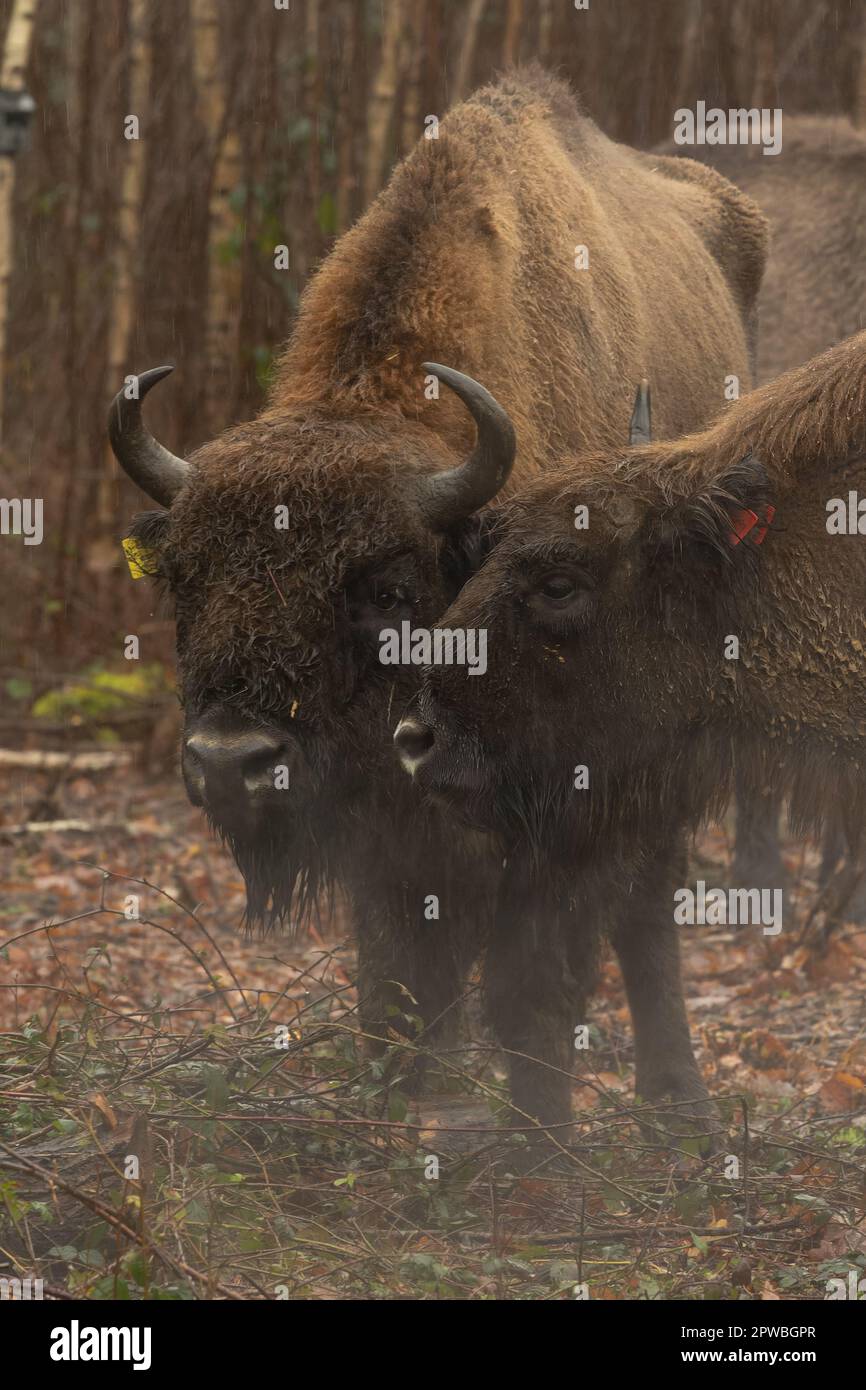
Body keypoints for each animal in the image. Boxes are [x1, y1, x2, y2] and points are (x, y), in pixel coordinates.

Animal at [109, 68, 766, 1113]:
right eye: (183, 581)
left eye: (386, 588)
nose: (229, 762)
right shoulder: (389, 831)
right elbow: (399, 982)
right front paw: (403, 1108)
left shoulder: (565, 806)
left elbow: (541, 984)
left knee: (649, 910)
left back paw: (681, 1111)